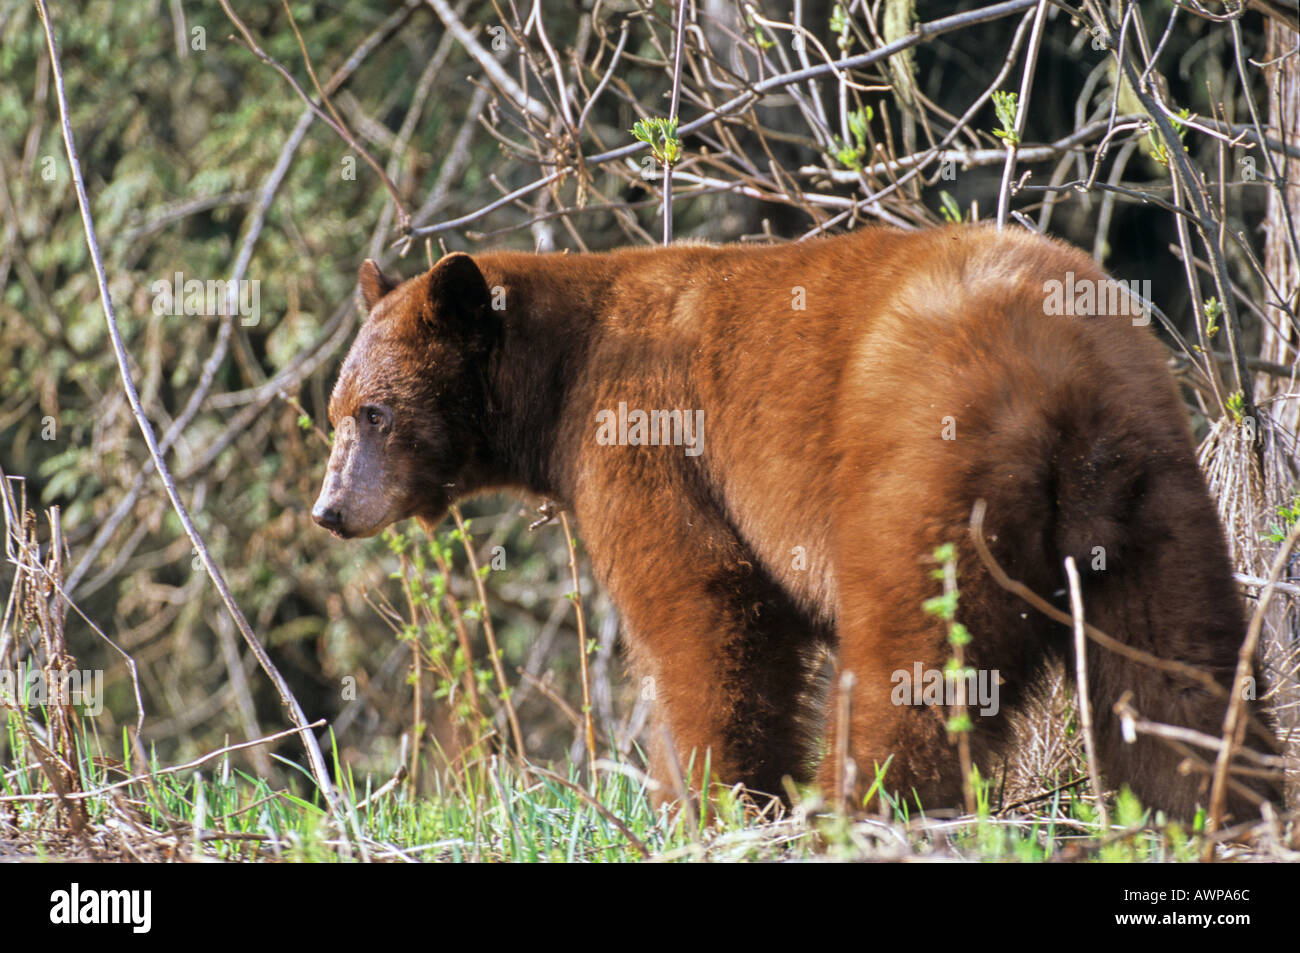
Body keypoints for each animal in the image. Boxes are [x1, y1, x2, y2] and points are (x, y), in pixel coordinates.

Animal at [312, 224, 1276, 820]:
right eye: (335, 411)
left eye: (374, 413)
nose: (330, 510)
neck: (560, 375)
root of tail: (1061, 383)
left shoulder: (644, 438)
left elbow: (704, 606)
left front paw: (715, 798)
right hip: (1157, 495)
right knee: (1176, 667)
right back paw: (1216, 807)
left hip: (922, 469)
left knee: (909, 667)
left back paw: (852, 810)